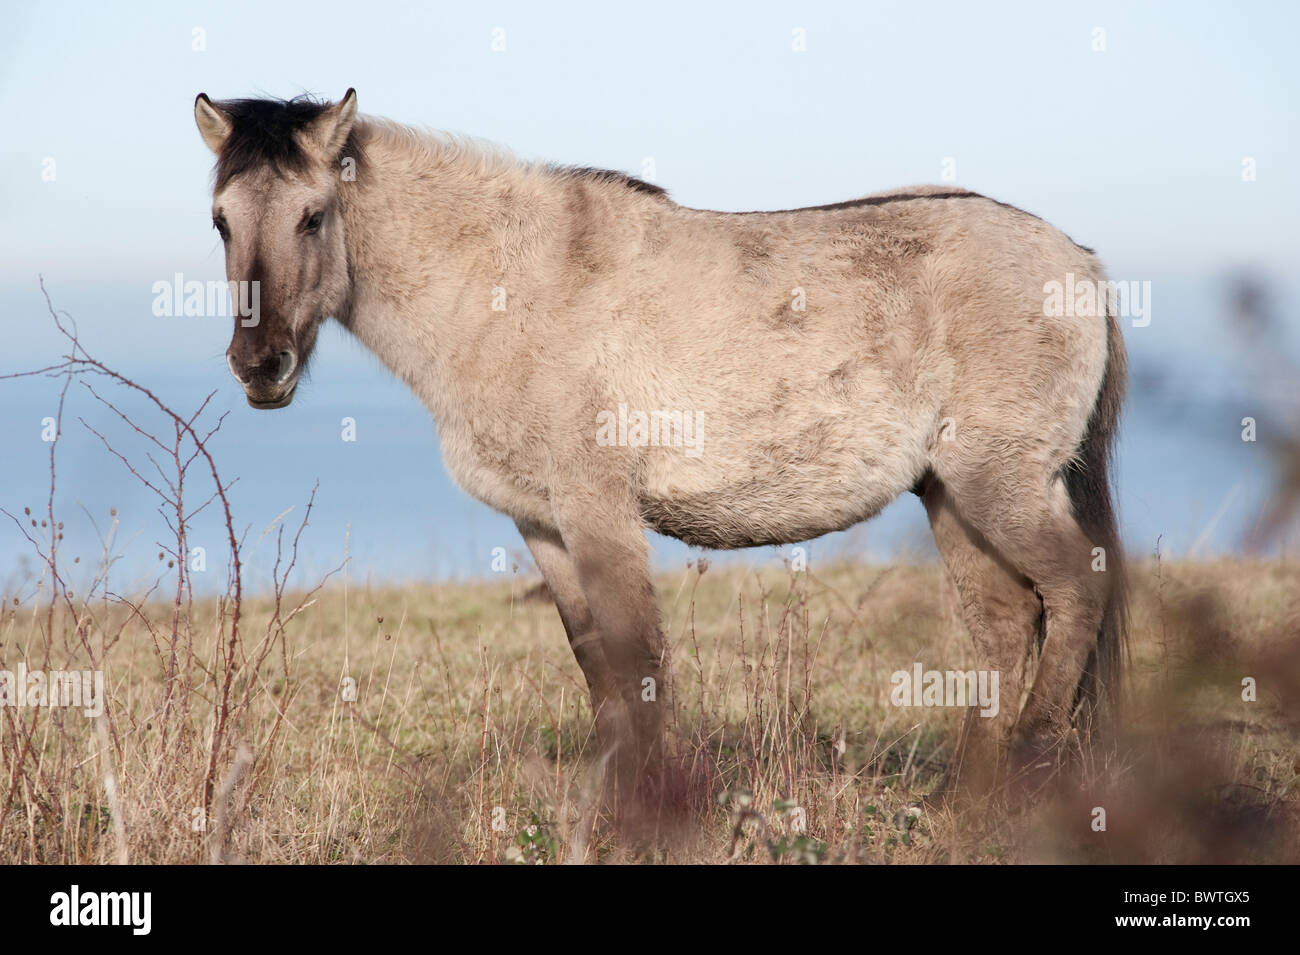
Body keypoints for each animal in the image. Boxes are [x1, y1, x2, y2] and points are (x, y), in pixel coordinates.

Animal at [194, 88, 1127, 805]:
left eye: (314, 216)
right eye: (220, 223)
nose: (259, 367)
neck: (503, 285)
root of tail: (1077, 258)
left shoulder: (599, 510)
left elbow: (639, 656)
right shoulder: (543, 523)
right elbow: (599, 667)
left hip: (997, 484)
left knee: (1076, 588)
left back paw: (1029, 768)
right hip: (949, 494)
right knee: (1004, 626)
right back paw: (964, 797)